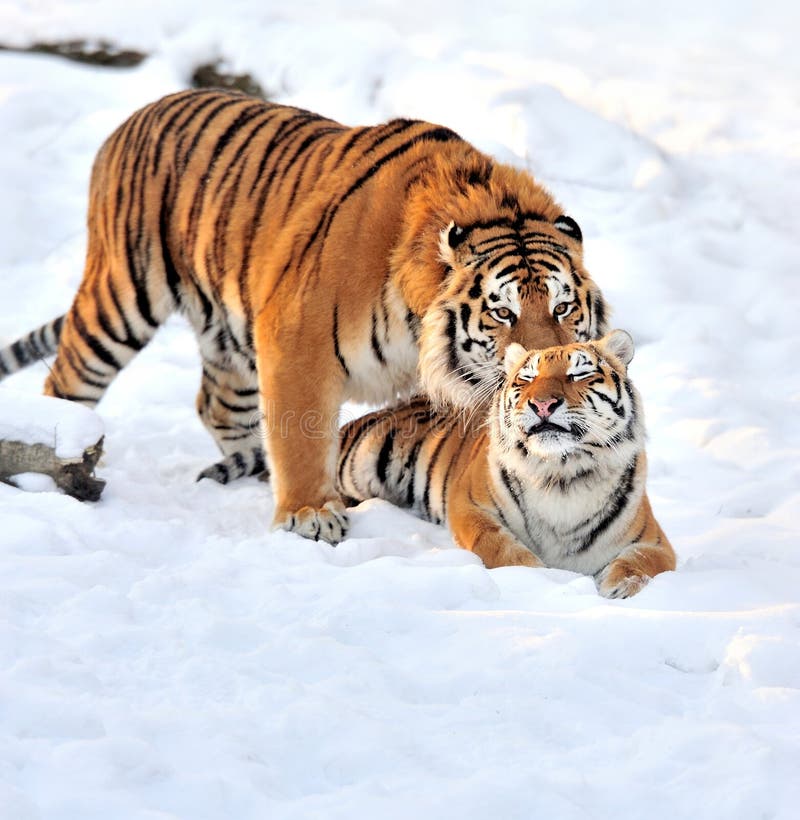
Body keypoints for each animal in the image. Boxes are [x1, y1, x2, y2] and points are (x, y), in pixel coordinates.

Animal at [0, 88, 608, 544]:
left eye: (562, 306)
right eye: (502, 311)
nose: (543, 375)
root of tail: (131, 119)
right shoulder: (296, 343)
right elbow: (300, 435)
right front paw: (309, 515)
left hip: (229, 337)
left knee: (215, 405)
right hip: (121, 300)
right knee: (67, 382)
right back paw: (63, 470)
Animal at [338, 330, 675, 597]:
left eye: (578, 375)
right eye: (528, 378)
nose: (542, 404)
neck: (562, 473)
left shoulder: (655, 541)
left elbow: (642, 561)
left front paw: (618, 588)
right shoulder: (469, 506)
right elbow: (499, 547)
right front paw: (539, 577)